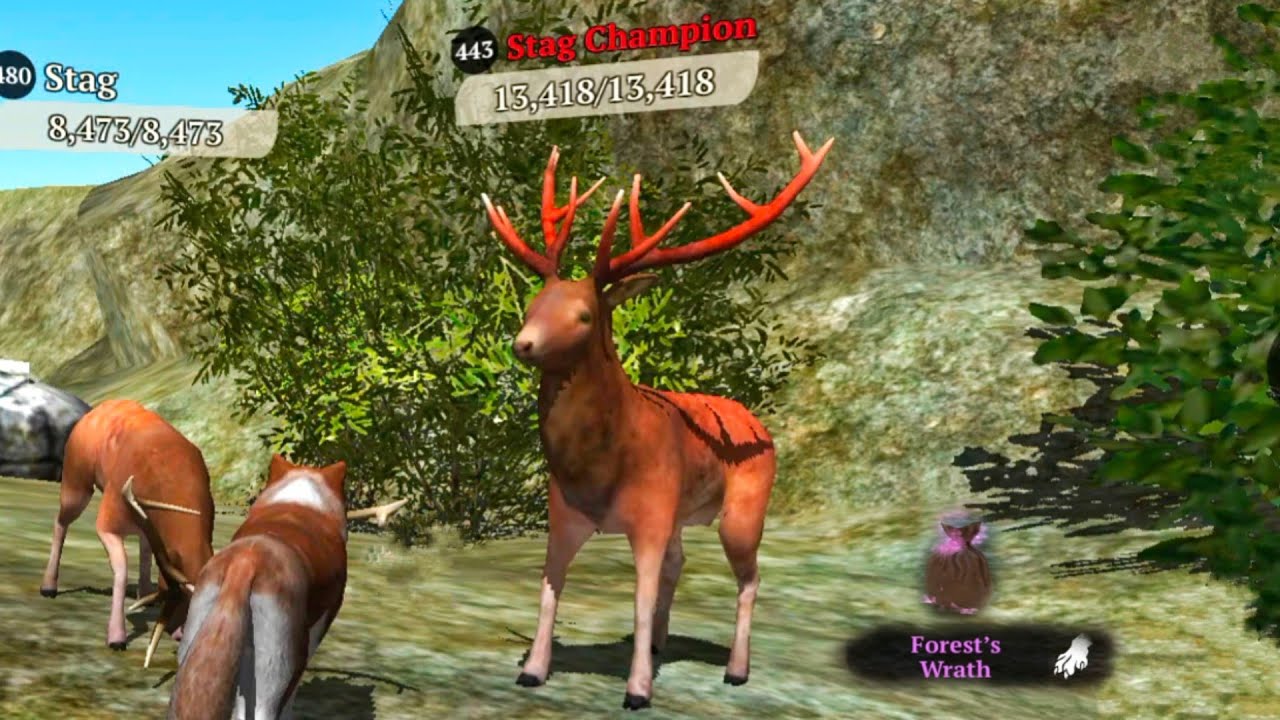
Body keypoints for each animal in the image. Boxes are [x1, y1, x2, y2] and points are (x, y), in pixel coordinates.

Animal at [480, 130, 833, 709]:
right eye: (532, 303)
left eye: (584, 315)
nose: (522, 343)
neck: (602, 465)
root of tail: (755, 421)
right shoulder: (563, 512)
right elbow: (550, 588)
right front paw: (533, 670)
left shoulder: (650, 511)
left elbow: (639, 597)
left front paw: (638, 689)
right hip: (681, 510)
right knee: (680, 562)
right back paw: (664, 645)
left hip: (745, 508)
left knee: (750, 577)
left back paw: (737, 669)